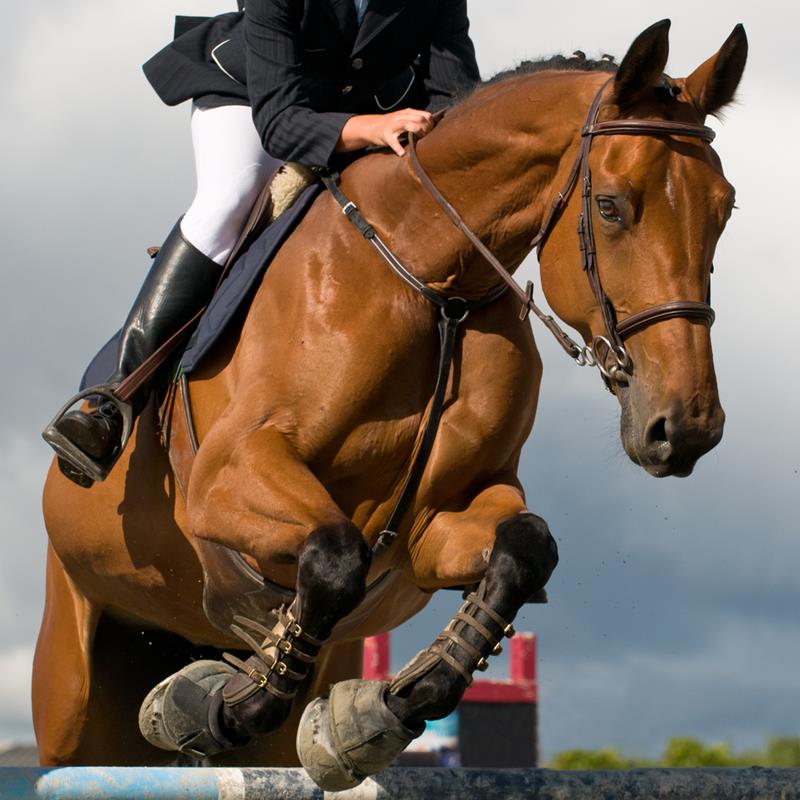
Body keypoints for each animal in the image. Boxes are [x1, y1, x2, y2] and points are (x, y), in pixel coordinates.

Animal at [35, 19, 747, 787]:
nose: (687, 426)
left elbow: (525, 549)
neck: (434, 283)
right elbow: (335, 556)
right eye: (612, 207)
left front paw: (370, 714)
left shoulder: (436, 525)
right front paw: (210, 703)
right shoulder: (226, 475)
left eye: (725, 210)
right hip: (72, 690)